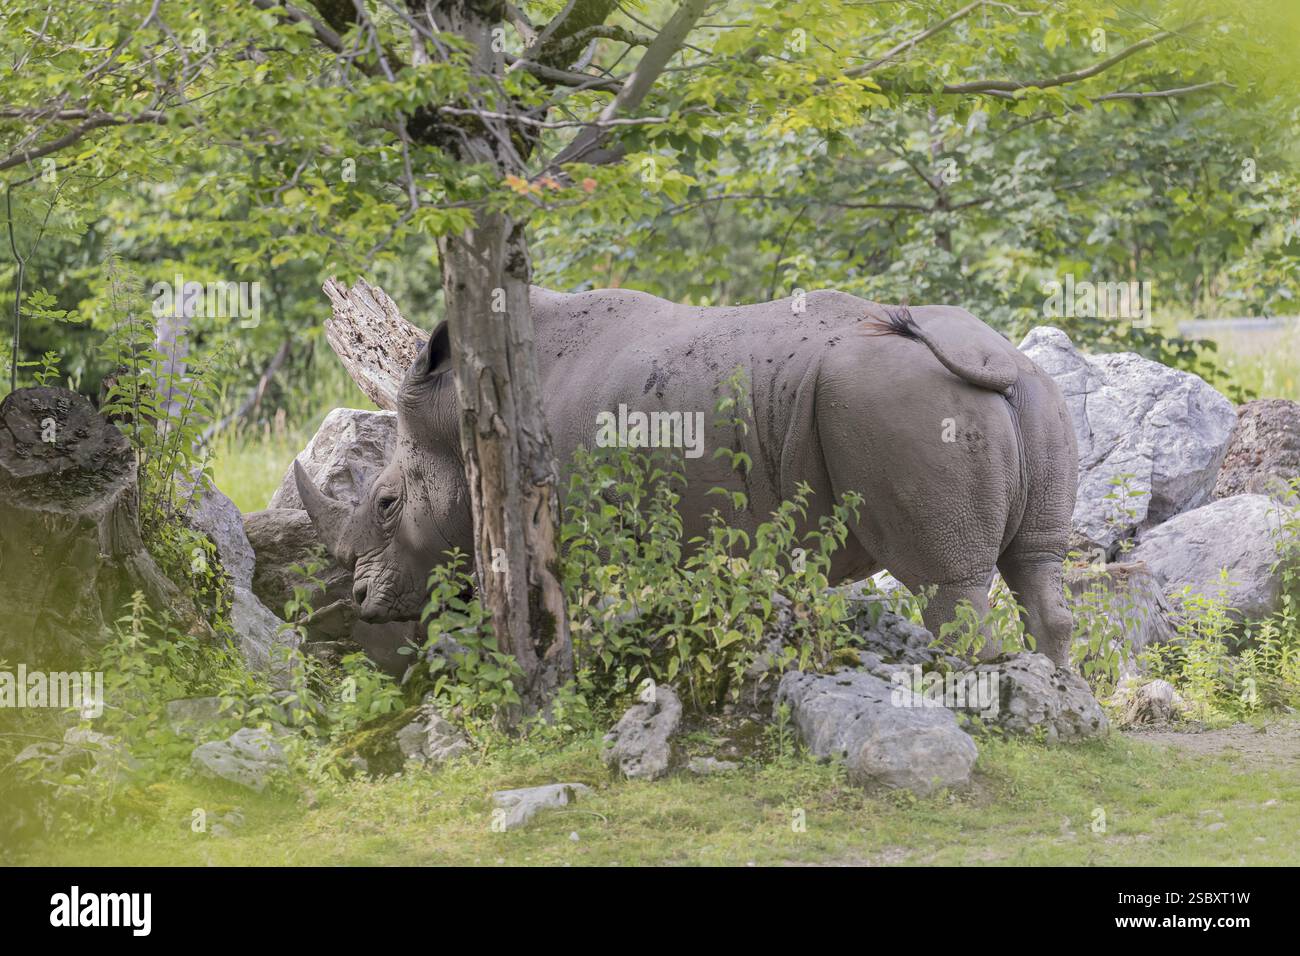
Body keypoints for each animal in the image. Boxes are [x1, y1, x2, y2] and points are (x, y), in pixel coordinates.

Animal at [296, 287, 1079, 663]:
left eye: (388, 502)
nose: (361, 598)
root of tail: (992, 353)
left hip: (902, 405)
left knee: (948, 583)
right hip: (1037, 393)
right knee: (1037, 564)